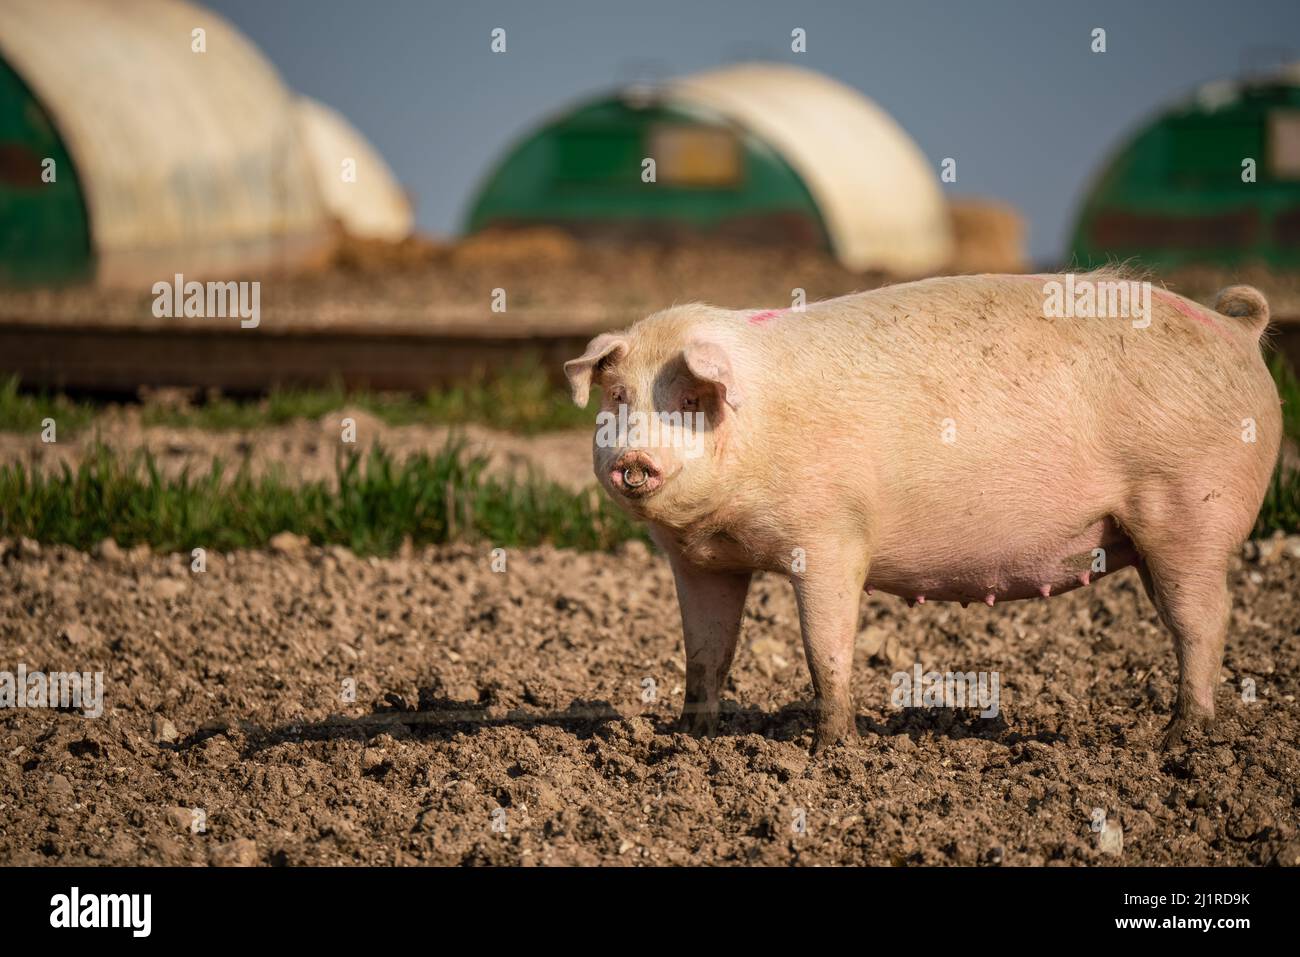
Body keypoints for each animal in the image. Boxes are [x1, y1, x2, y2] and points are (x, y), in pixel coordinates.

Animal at [564, 271, 1282, 752]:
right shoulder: (702, 564)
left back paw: (1177, 743)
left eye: (689, 399)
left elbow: (825, 648)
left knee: (1204, 623)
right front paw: (690, 739)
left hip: (1192, 514)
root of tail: (1240, 331)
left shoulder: (832, 538)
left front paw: (832, 751)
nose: (633, 461)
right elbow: (706, 652)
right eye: (618, 398)